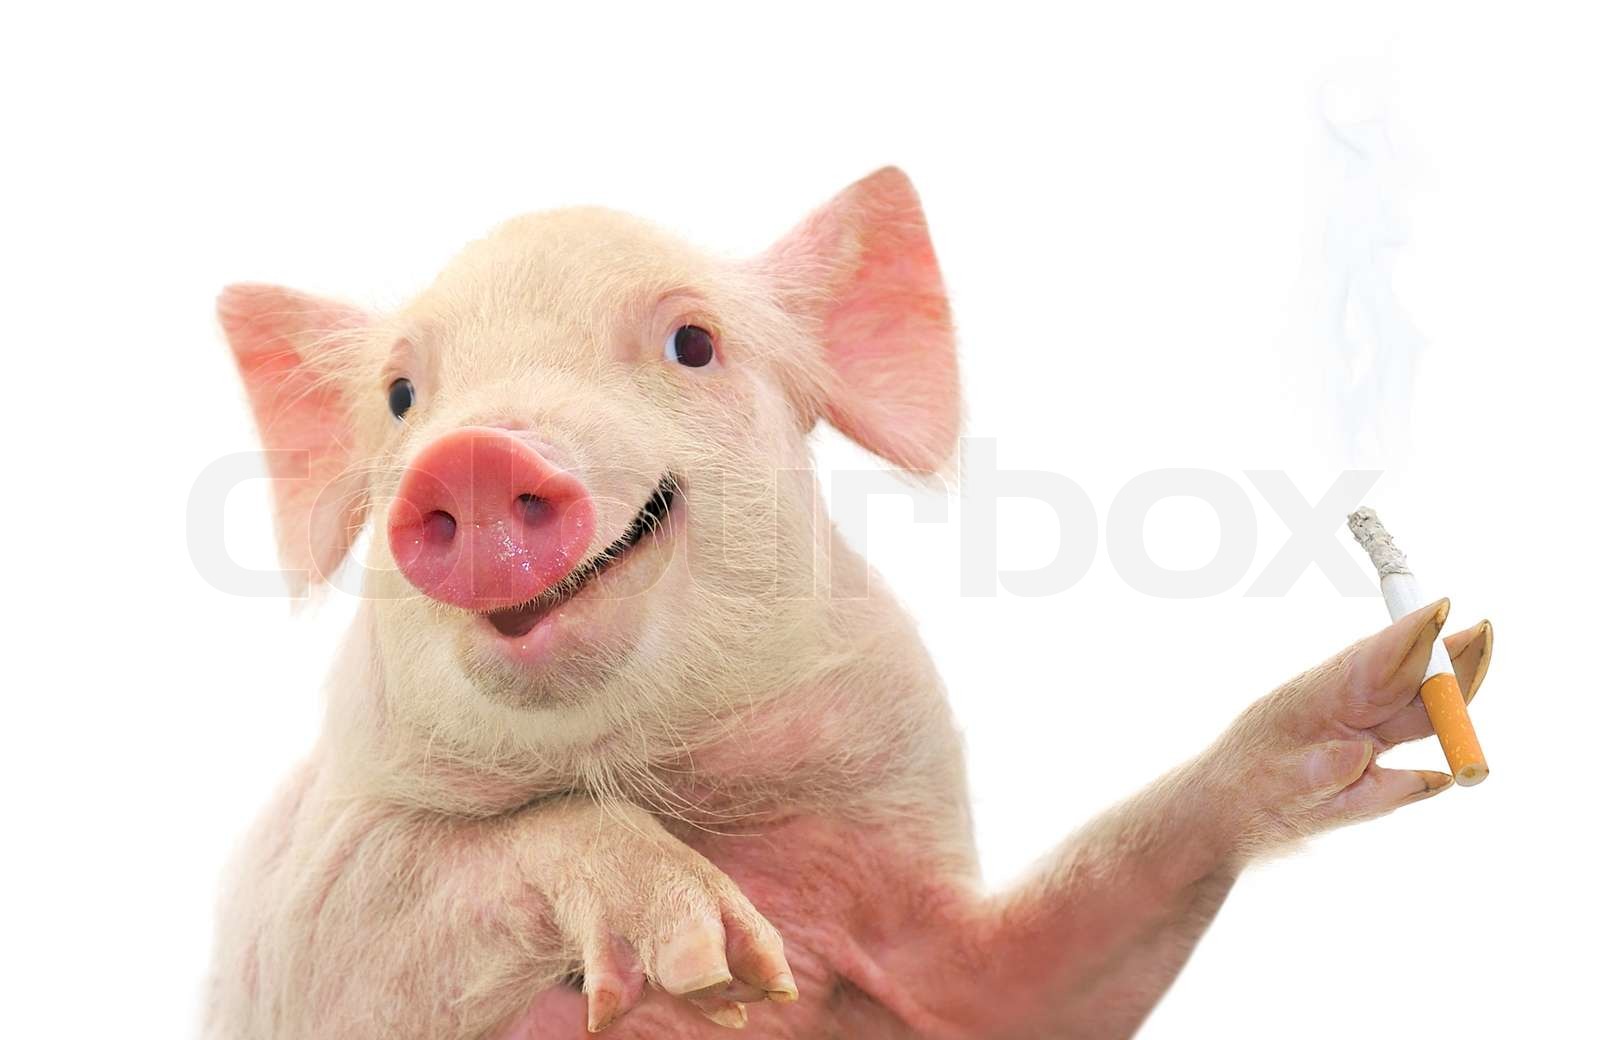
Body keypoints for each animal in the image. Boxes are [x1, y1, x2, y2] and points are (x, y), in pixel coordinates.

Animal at [205, 168, 1494, 1040]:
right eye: (401, 396)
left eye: (692, 342)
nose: (470, 455)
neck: (655, 777)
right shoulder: (297, 914)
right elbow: (398, 899)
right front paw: (710, 952)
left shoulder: (933, 924)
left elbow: (1037, 957)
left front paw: (1415, 673)